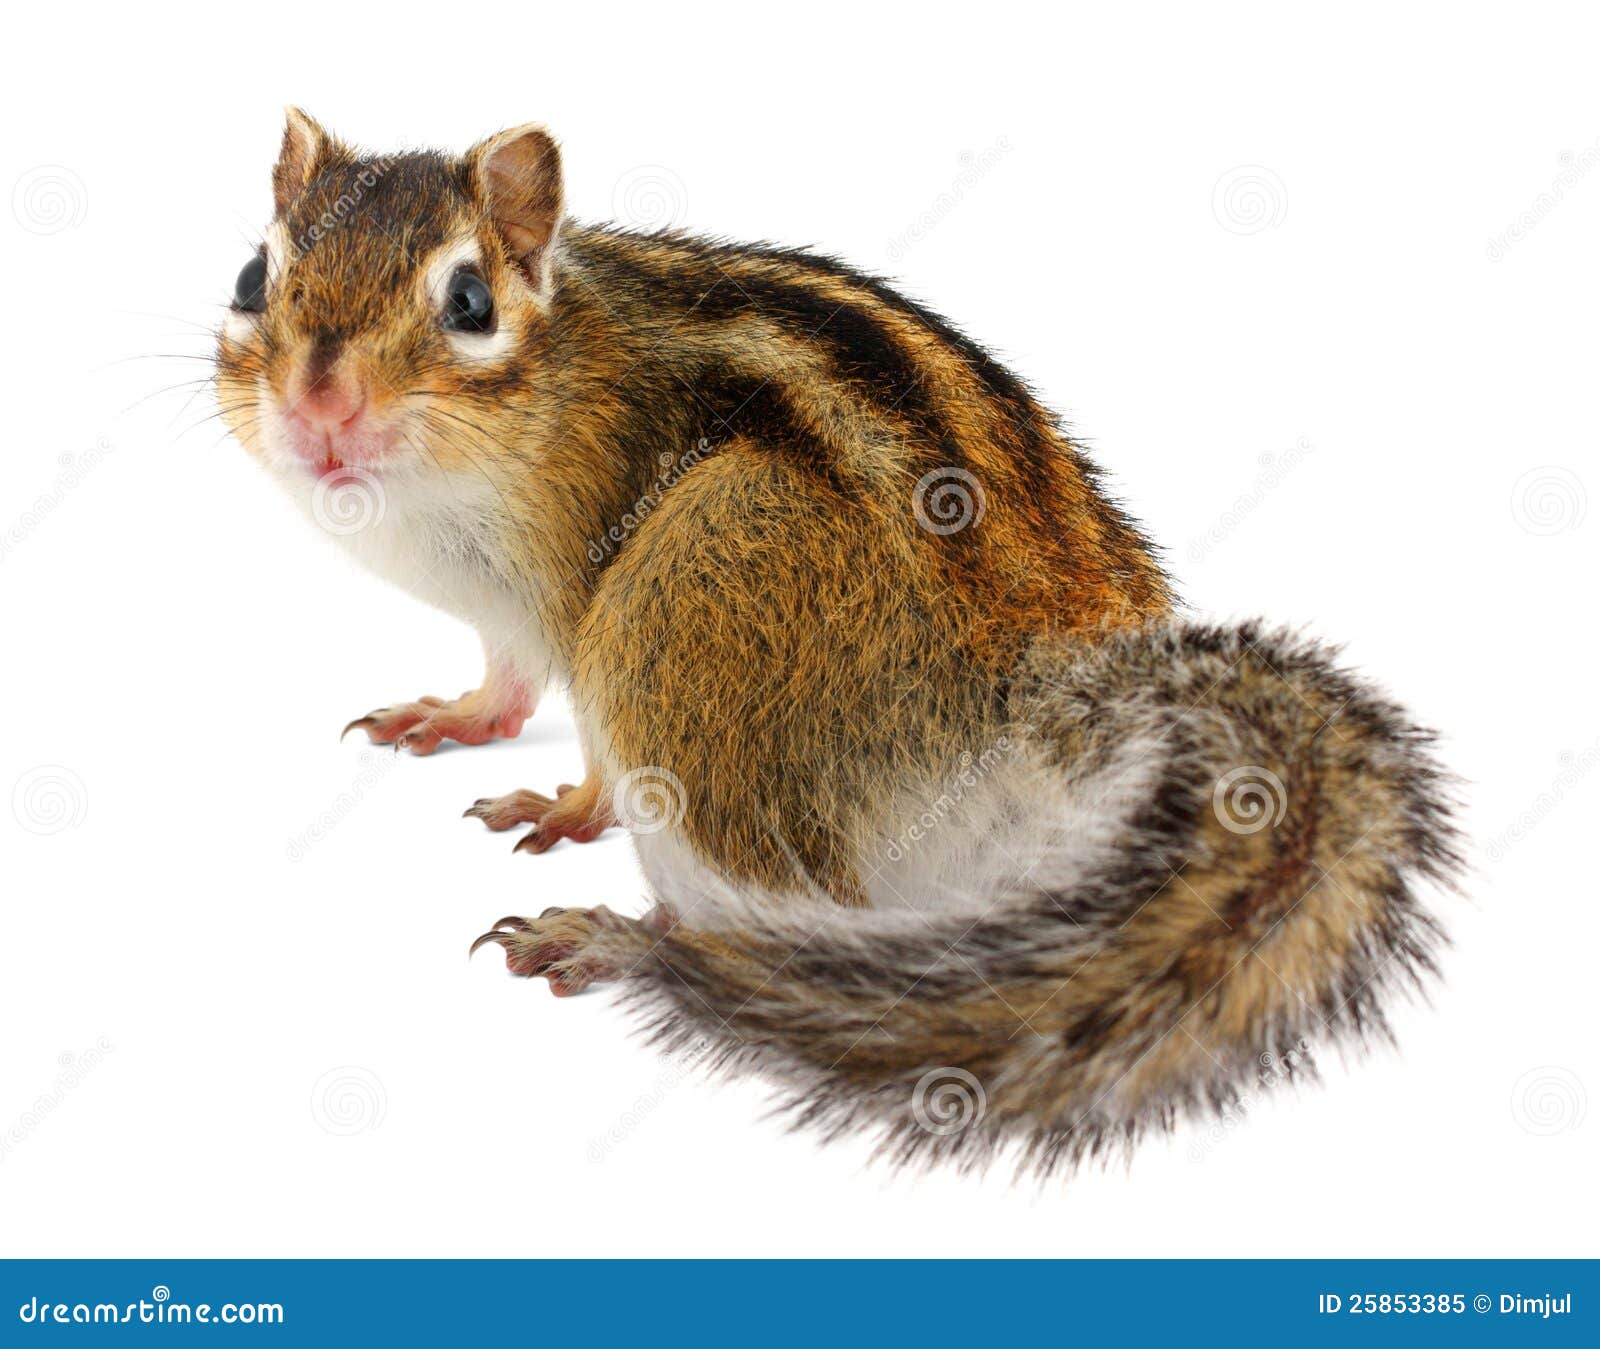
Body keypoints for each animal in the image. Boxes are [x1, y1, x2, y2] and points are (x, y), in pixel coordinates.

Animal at [215, 110, 1460, 1174]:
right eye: (251, 277)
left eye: (468, 299)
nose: (320, 407)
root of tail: (1049, 707)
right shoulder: (508, 620)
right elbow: (506, 680)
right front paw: (452, 718)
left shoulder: (580, 590)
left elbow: (595, 760)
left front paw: (564, 809)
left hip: (689, 596)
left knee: (779, 898)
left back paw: (622, 937)